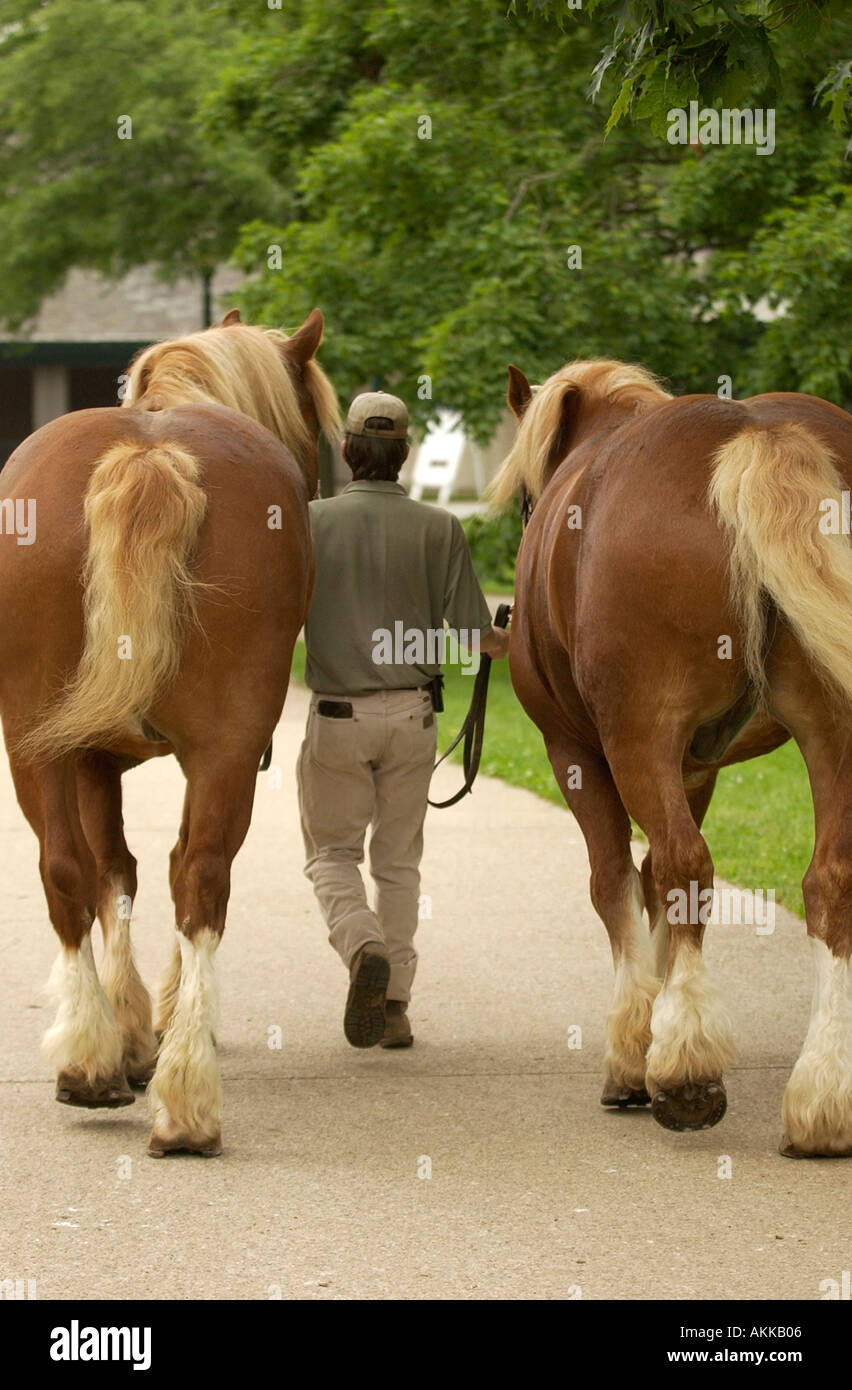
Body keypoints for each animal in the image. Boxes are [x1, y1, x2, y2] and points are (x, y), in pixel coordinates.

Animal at [0, 307, 339, 1157]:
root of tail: (149, 456)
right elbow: (130, 870)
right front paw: (145, 1027)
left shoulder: (90, 755)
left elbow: (112, 872)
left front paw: (126, 1032)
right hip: (219, 749)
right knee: (198, 877)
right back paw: (179, 1095)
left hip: (36, 741)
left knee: (70, 872)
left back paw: (98, 1068)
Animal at [490, 359, 852, 1157]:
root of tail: (759, 431)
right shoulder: (699, 767)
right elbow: (653, 878)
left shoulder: (579, 751)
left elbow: (621, 880)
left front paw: (635, 1047)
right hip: (834, 727)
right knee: (830, 881)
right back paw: (824, 1099)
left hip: (638, 731)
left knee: (689, 866)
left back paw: (685, 1067)